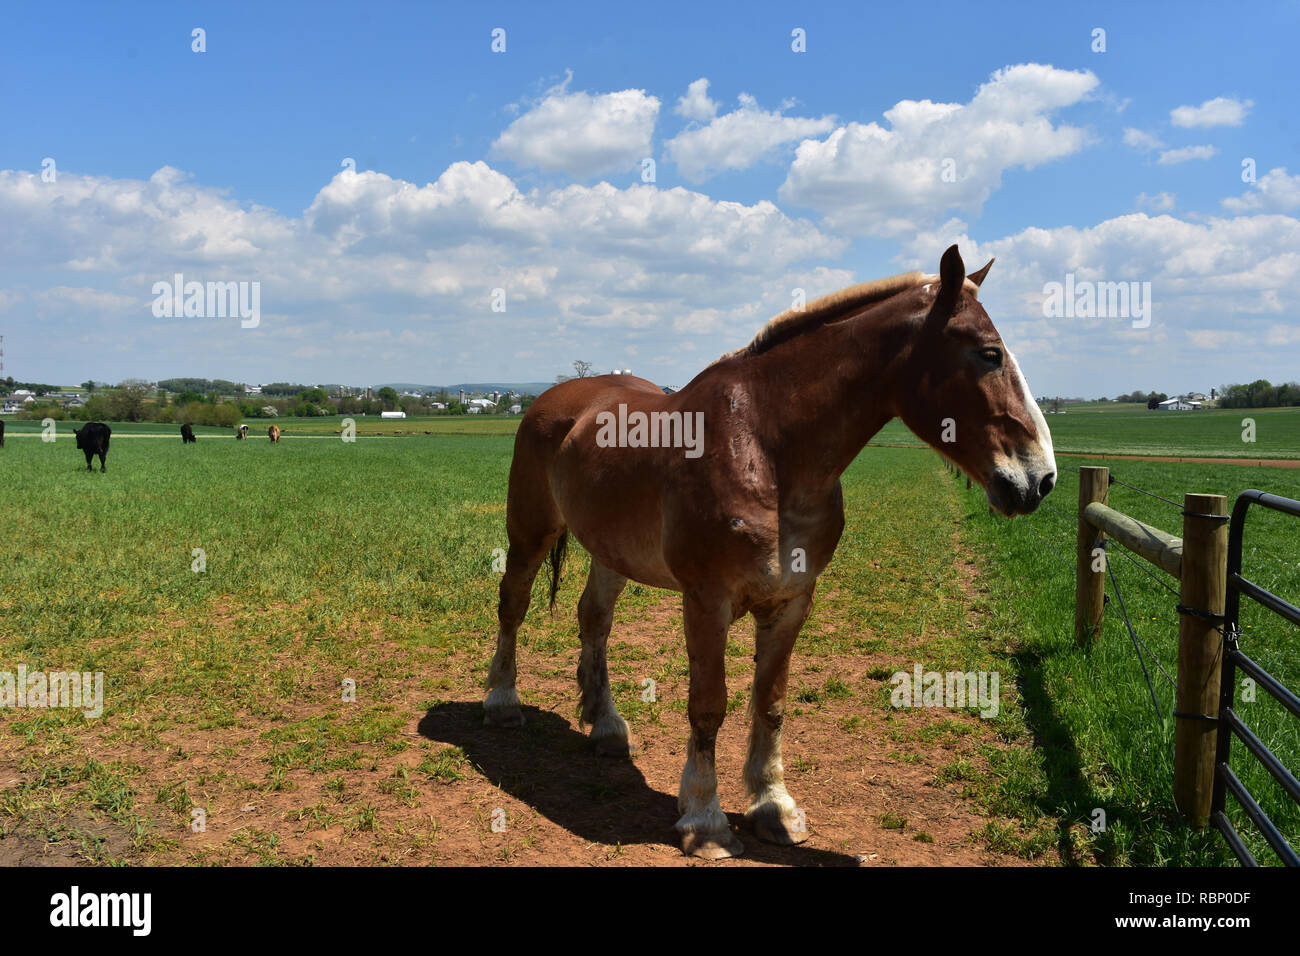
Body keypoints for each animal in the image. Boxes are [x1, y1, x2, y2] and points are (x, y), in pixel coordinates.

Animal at [483, 246, 1056, 858]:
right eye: (989, 354)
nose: (1040, 479)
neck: (766, 448)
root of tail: (556, 398)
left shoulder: (792, 600)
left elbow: (771, 701)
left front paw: (772, 807)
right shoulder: (706, 601)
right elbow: (709, 703)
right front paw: (705, 818)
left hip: (611, 553)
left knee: (593, 618)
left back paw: (607, 726)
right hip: (531, 531)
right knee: (513, 605)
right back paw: (503, 703)